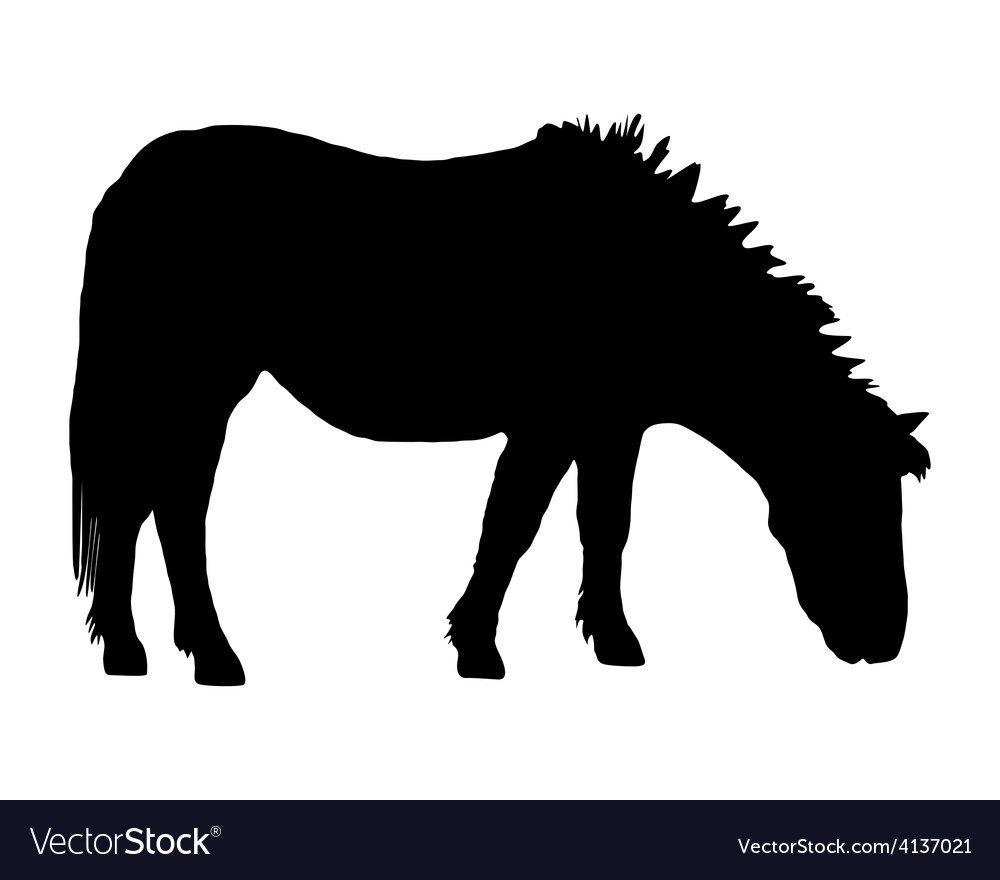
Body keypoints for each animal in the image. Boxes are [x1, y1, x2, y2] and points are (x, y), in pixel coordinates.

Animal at [70, 115, 930, 685]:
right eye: (850, 503)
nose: (882, 643)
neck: (649, 278)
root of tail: (135, 178)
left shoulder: (611, 427)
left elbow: (603, 530)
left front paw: (610, 642)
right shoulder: (549, 425)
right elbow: (513, 527)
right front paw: (480, 648)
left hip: (191, 387)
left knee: (156, 506)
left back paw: (166, 650)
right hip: (192, 379)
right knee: (157, 504)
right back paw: (168, 652)